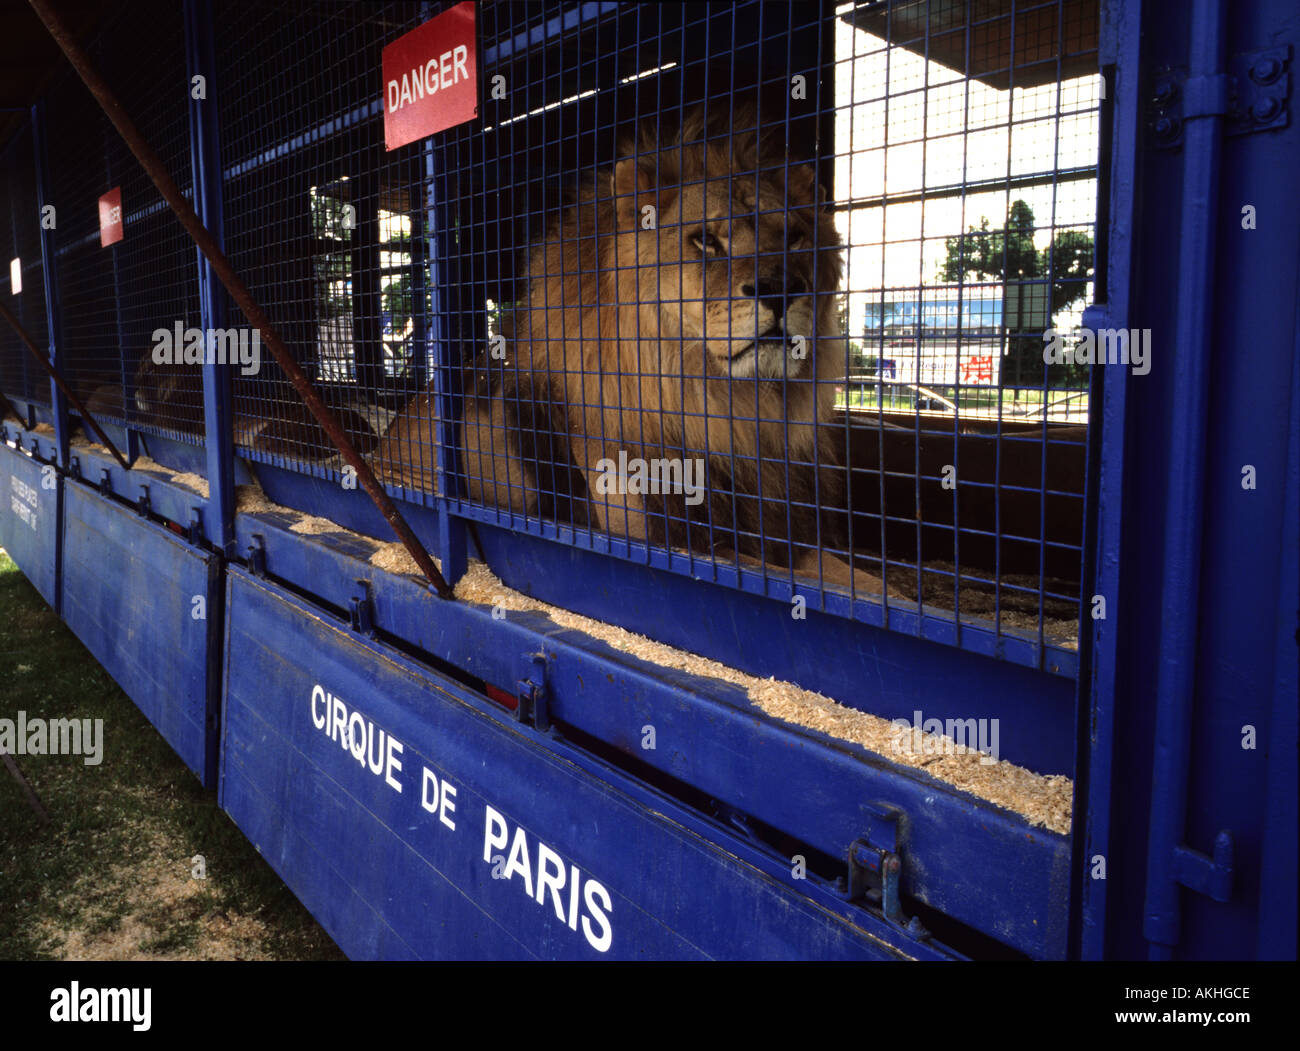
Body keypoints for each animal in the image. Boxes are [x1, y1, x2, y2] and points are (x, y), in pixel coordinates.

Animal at [376, 105, 880, 590]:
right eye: (706, 240)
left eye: (794, 236)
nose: (782, 288)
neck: (726, 408)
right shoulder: (659, 536)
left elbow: (862, 584)